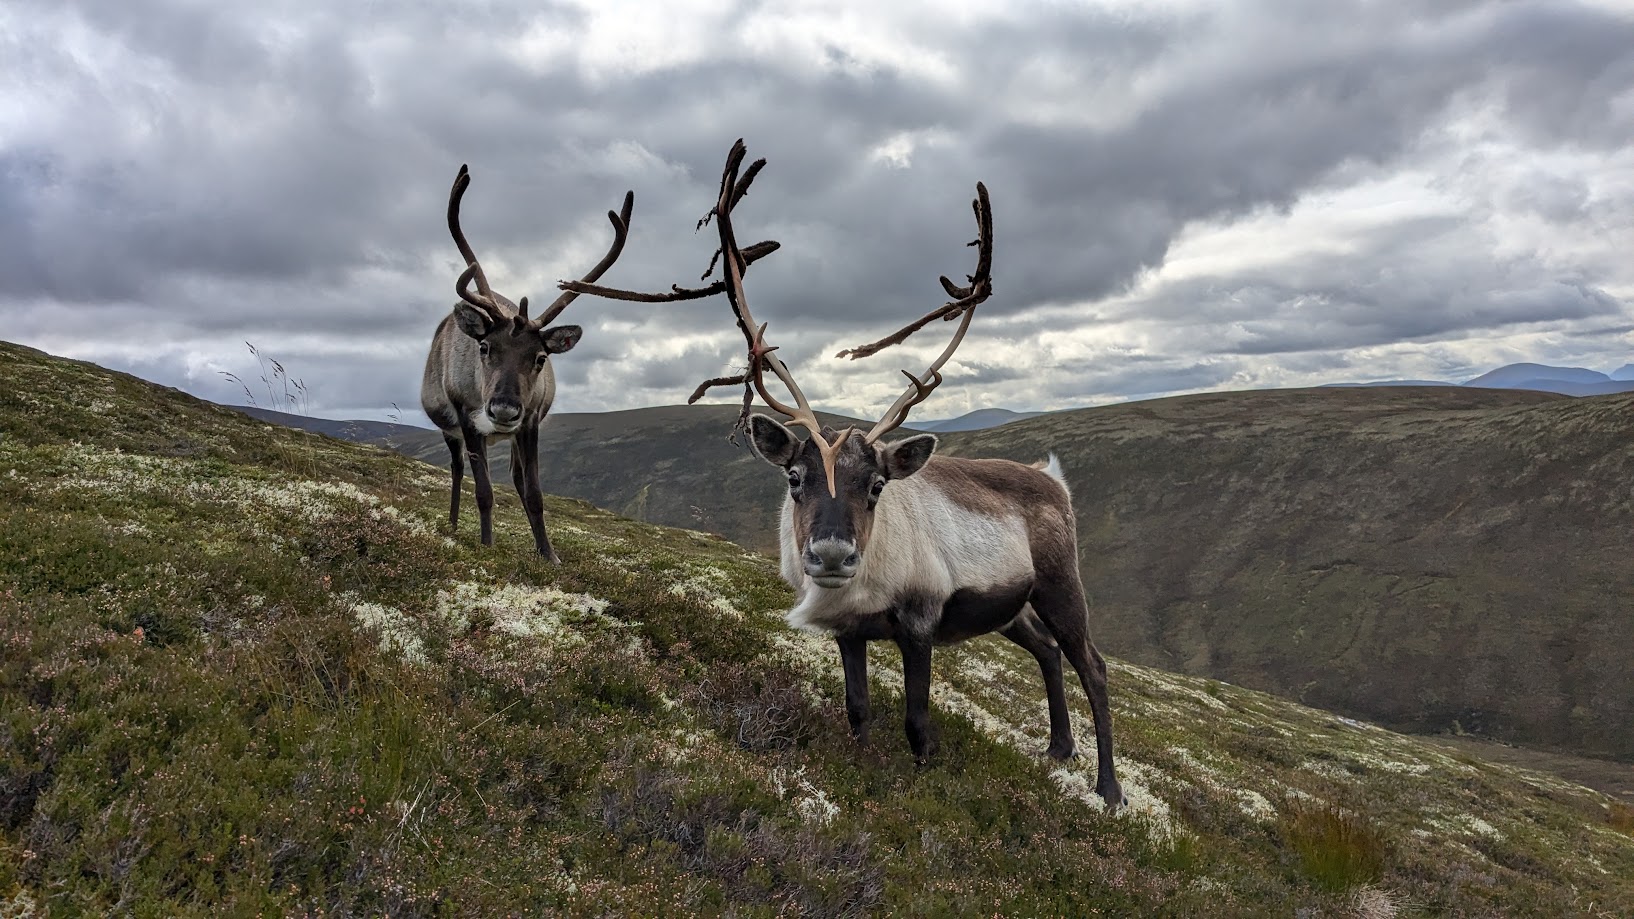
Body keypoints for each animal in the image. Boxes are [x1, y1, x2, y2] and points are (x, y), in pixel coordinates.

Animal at [420, 165, 632, 561]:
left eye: (540, 357)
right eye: (484, 346)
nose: (503, 409)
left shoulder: (530, 420)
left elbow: (533, 493)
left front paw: (549, 554)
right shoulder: (467, 417)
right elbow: (483, 492)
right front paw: (487, 545)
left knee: (516, 477)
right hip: (450, 428)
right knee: (457, 468)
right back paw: (453, 523)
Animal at [560, 140, 1125, 809]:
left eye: (877, 486)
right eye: (794, 478)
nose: (831, 555)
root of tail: (1053, 480)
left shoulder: (919, 623)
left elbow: (917, 722)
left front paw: (924, 789)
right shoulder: (848, 633)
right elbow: (857, 711)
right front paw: (863, 776)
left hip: (1062, 583)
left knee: (1091, 664)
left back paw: (1110, 789)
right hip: (1011, 606)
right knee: (1047, 650)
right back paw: (1059, 748)